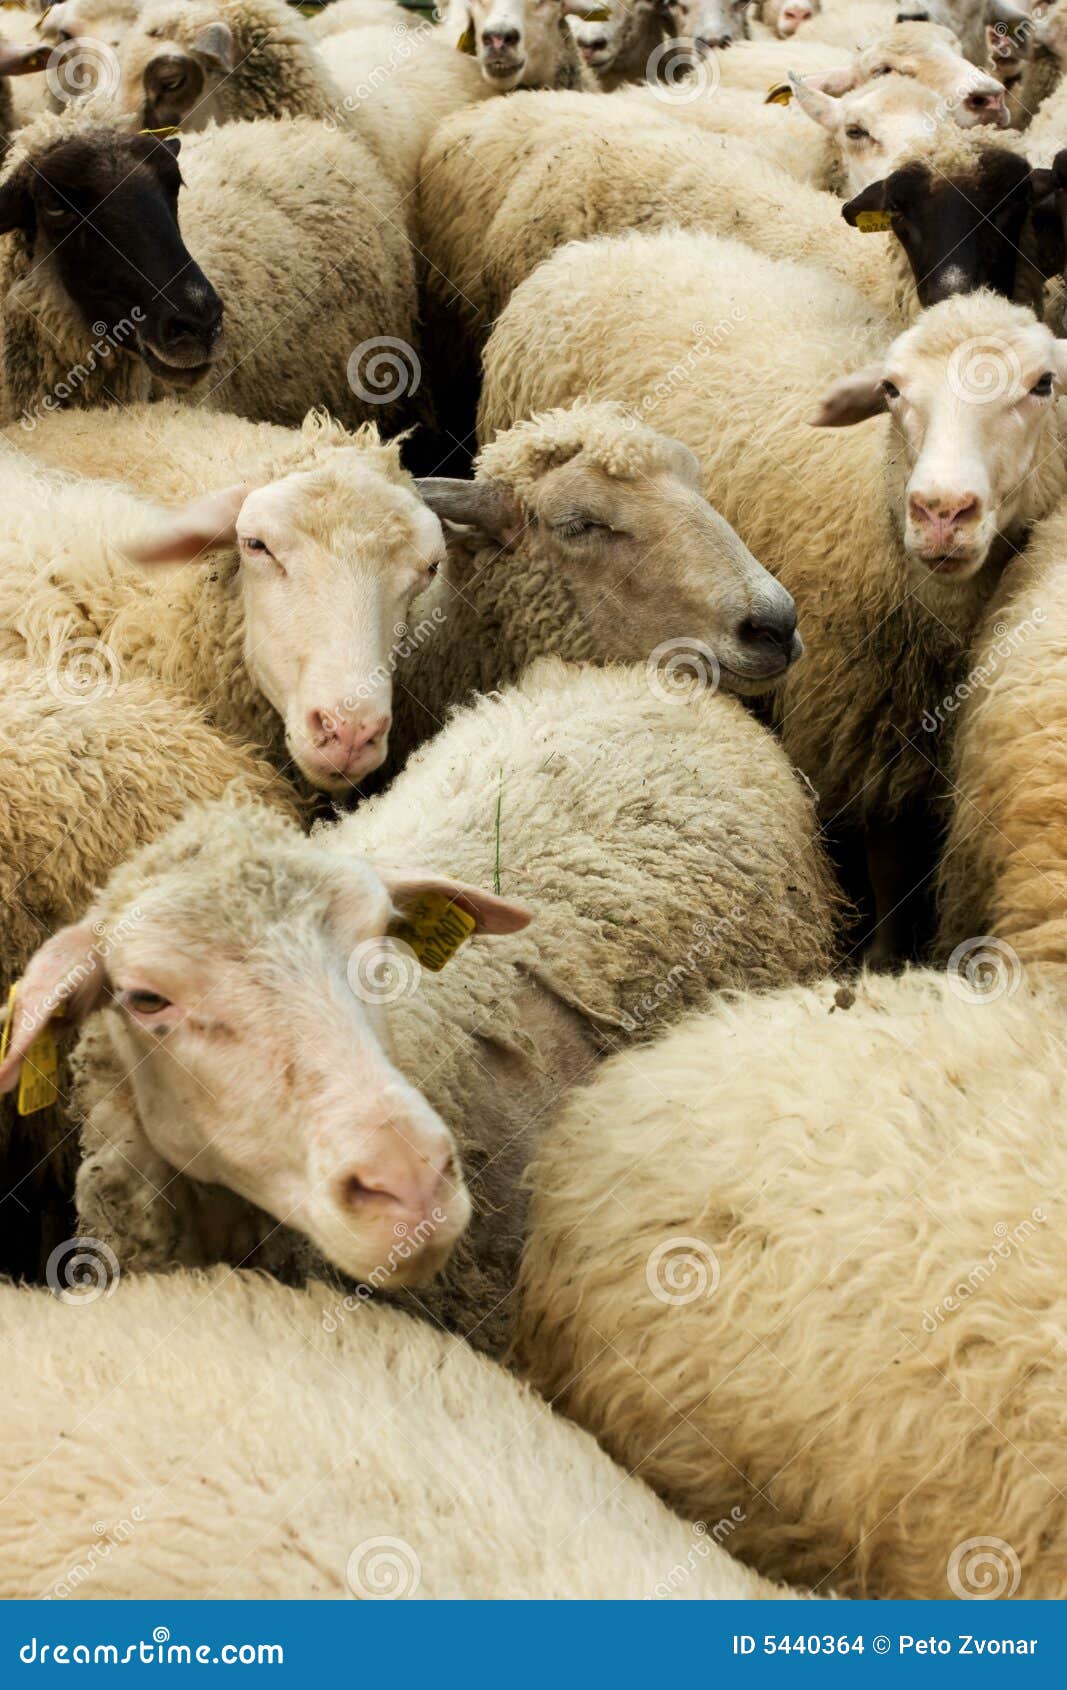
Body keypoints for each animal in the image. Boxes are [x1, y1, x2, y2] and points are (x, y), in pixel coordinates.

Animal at [479, 233, 1067, 959]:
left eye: (1042, 385)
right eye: (892, 390)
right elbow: (886, 871)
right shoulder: (864, 738)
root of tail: (601, 247)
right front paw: (880, 958)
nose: (940, 512)